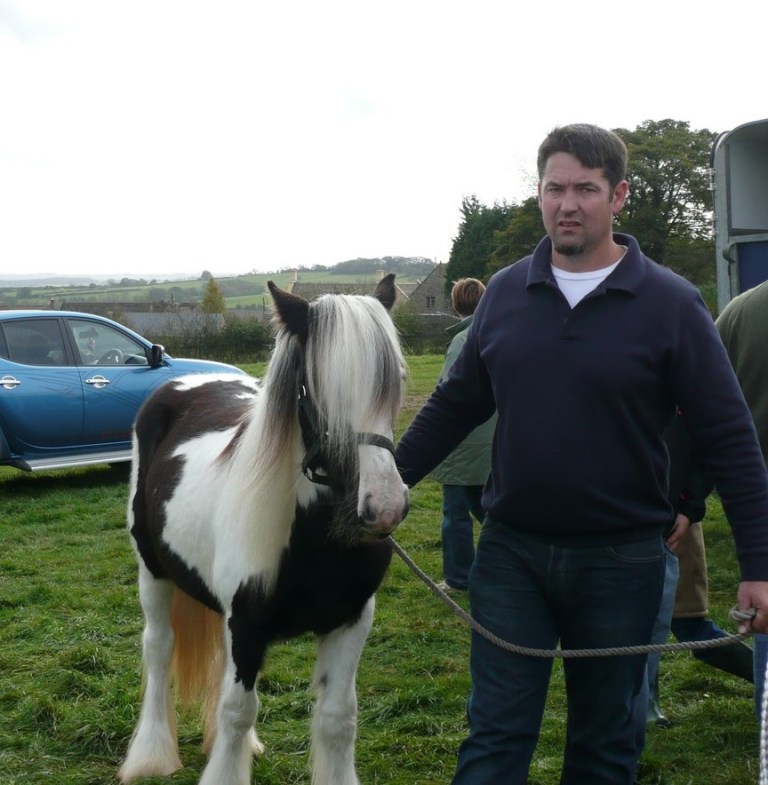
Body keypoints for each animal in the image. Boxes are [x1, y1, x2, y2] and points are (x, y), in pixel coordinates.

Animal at [119, 274, 409, 785]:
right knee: (158, 648)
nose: (384, 507)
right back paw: (151, 754)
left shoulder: (351, 620)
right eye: (316, 387)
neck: (314, 539)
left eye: (394, 381)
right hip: (152, 572)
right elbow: (238, 711)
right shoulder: (247, 624)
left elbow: (338, 718)